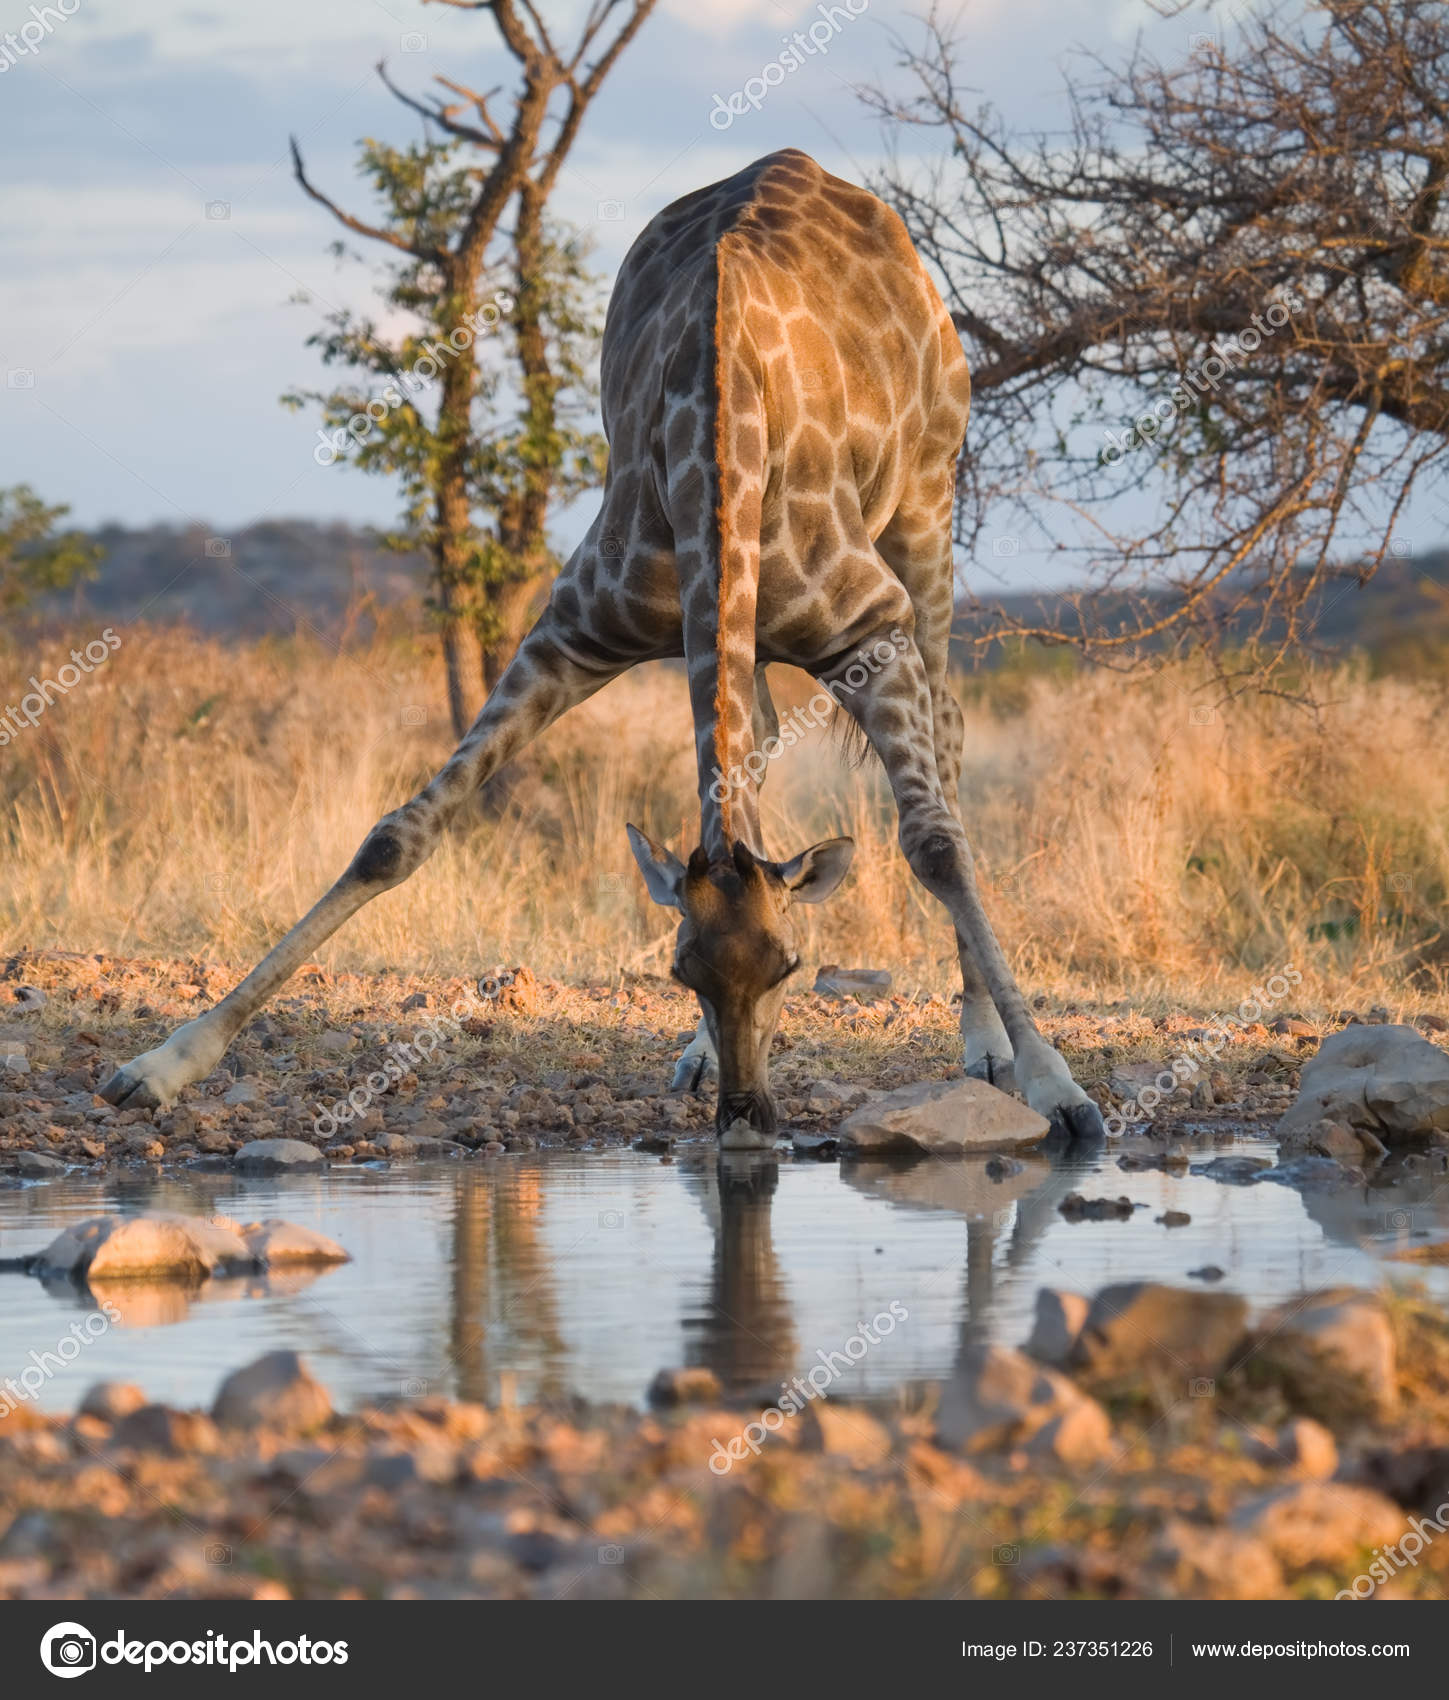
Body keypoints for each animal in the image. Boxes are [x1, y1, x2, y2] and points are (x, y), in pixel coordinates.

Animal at [99, 149, 1106, 1148]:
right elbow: (397, 836)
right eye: (680, 972)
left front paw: (1056, 1085)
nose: (745, 1117)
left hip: (928, 508)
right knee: (755, 751)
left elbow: (934, 842)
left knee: (949, 735)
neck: (718, 460)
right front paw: (162, 1065)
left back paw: (983, 1045)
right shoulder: (572, 633)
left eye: (790, 965)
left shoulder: (870, 630)